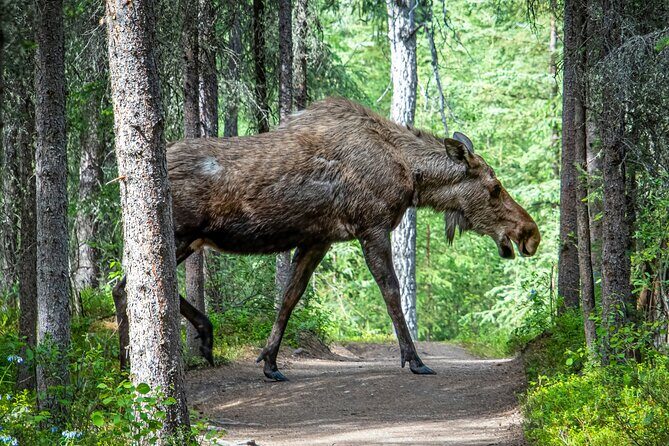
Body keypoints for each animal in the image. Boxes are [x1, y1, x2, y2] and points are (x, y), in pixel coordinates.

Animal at [112, 97, 541, 381]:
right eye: (494, 188)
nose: (530, 234)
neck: (411, 175)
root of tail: (122, 177)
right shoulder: (372, 226)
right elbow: (392, 293)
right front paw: (414, 359)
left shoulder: (319, 239)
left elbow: (289, 297)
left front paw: (270, 362)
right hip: (180, 235)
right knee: (130, 287)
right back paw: (134, 362)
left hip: (188, 240)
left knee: (124, 286)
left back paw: (161, 351)